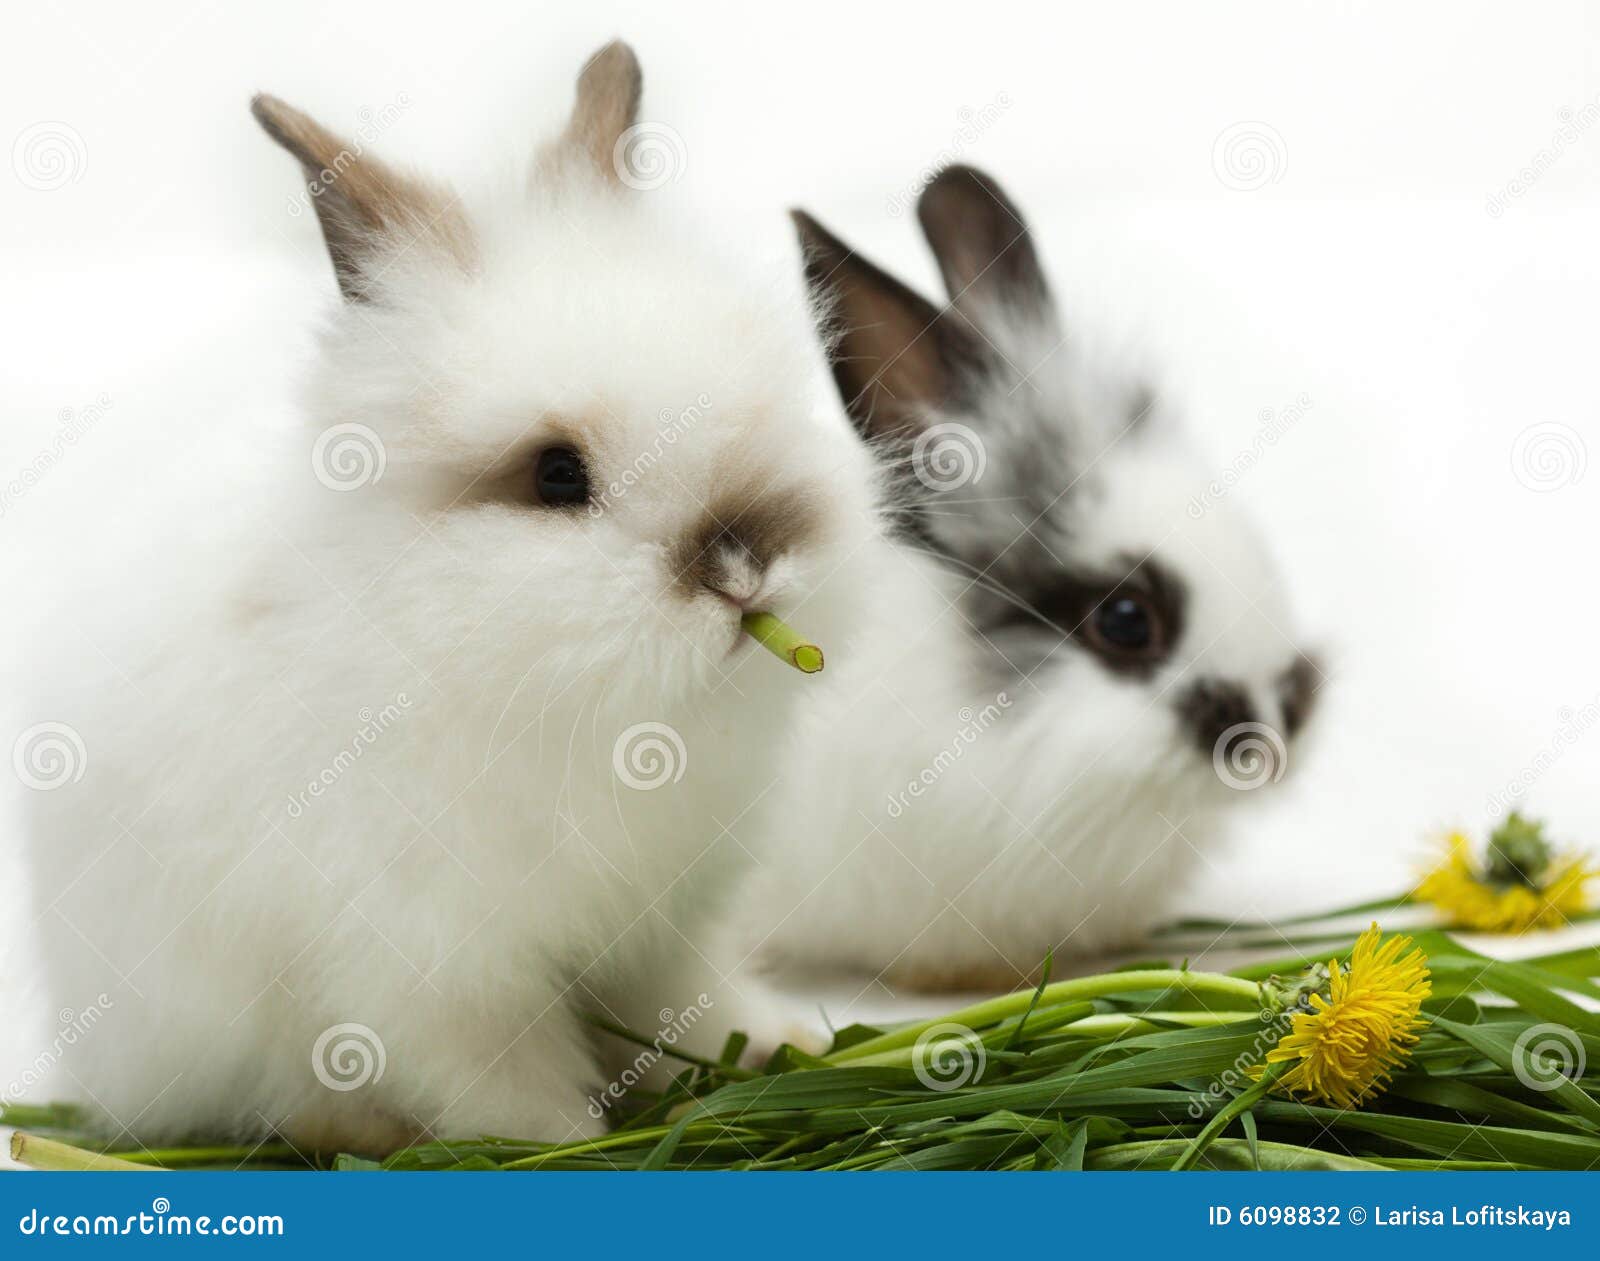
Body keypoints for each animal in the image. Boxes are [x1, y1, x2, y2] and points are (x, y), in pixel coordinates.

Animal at [7, 42, 883, 1153]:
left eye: (775, 400)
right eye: (555, 474)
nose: (743, 564)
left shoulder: (667, 922)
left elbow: (686, 1007)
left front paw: (774, 1049)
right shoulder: (435, 966)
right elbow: (494, 1073)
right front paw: (571, 1143)